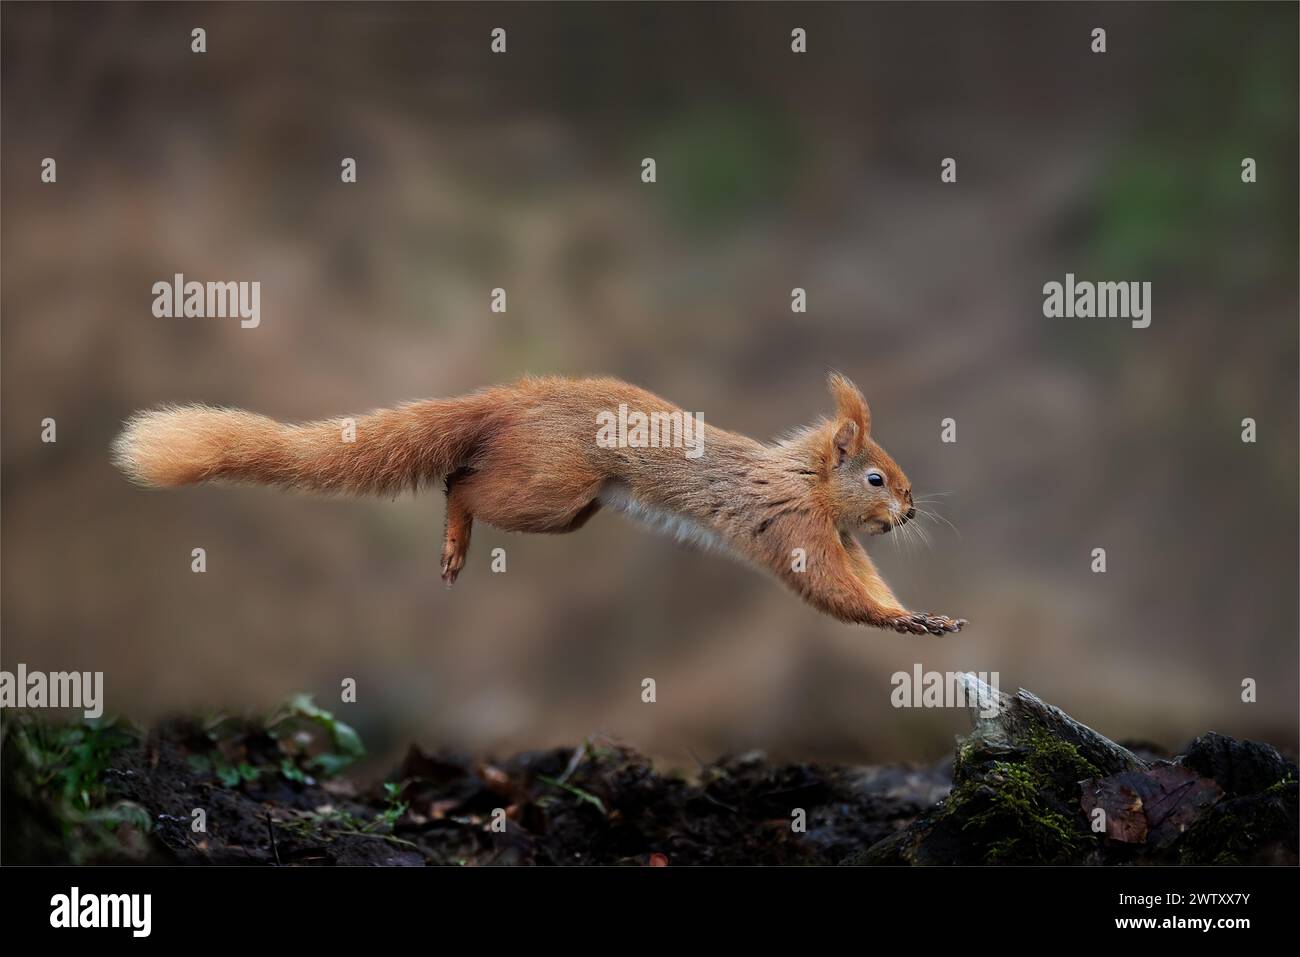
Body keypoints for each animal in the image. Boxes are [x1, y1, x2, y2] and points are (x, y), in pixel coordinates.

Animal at [112, 373, 966, 636]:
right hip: (554, 491)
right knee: (463, 482)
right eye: (877, 479)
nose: (912, 509)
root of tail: (513, 399)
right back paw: (455, 535)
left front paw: (920, 613)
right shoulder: (796, 528)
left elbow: (867, 582)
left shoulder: (841, 540)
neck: (803, 479)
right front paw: (906, 623)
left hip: (570, 503)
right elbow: (834, 591)